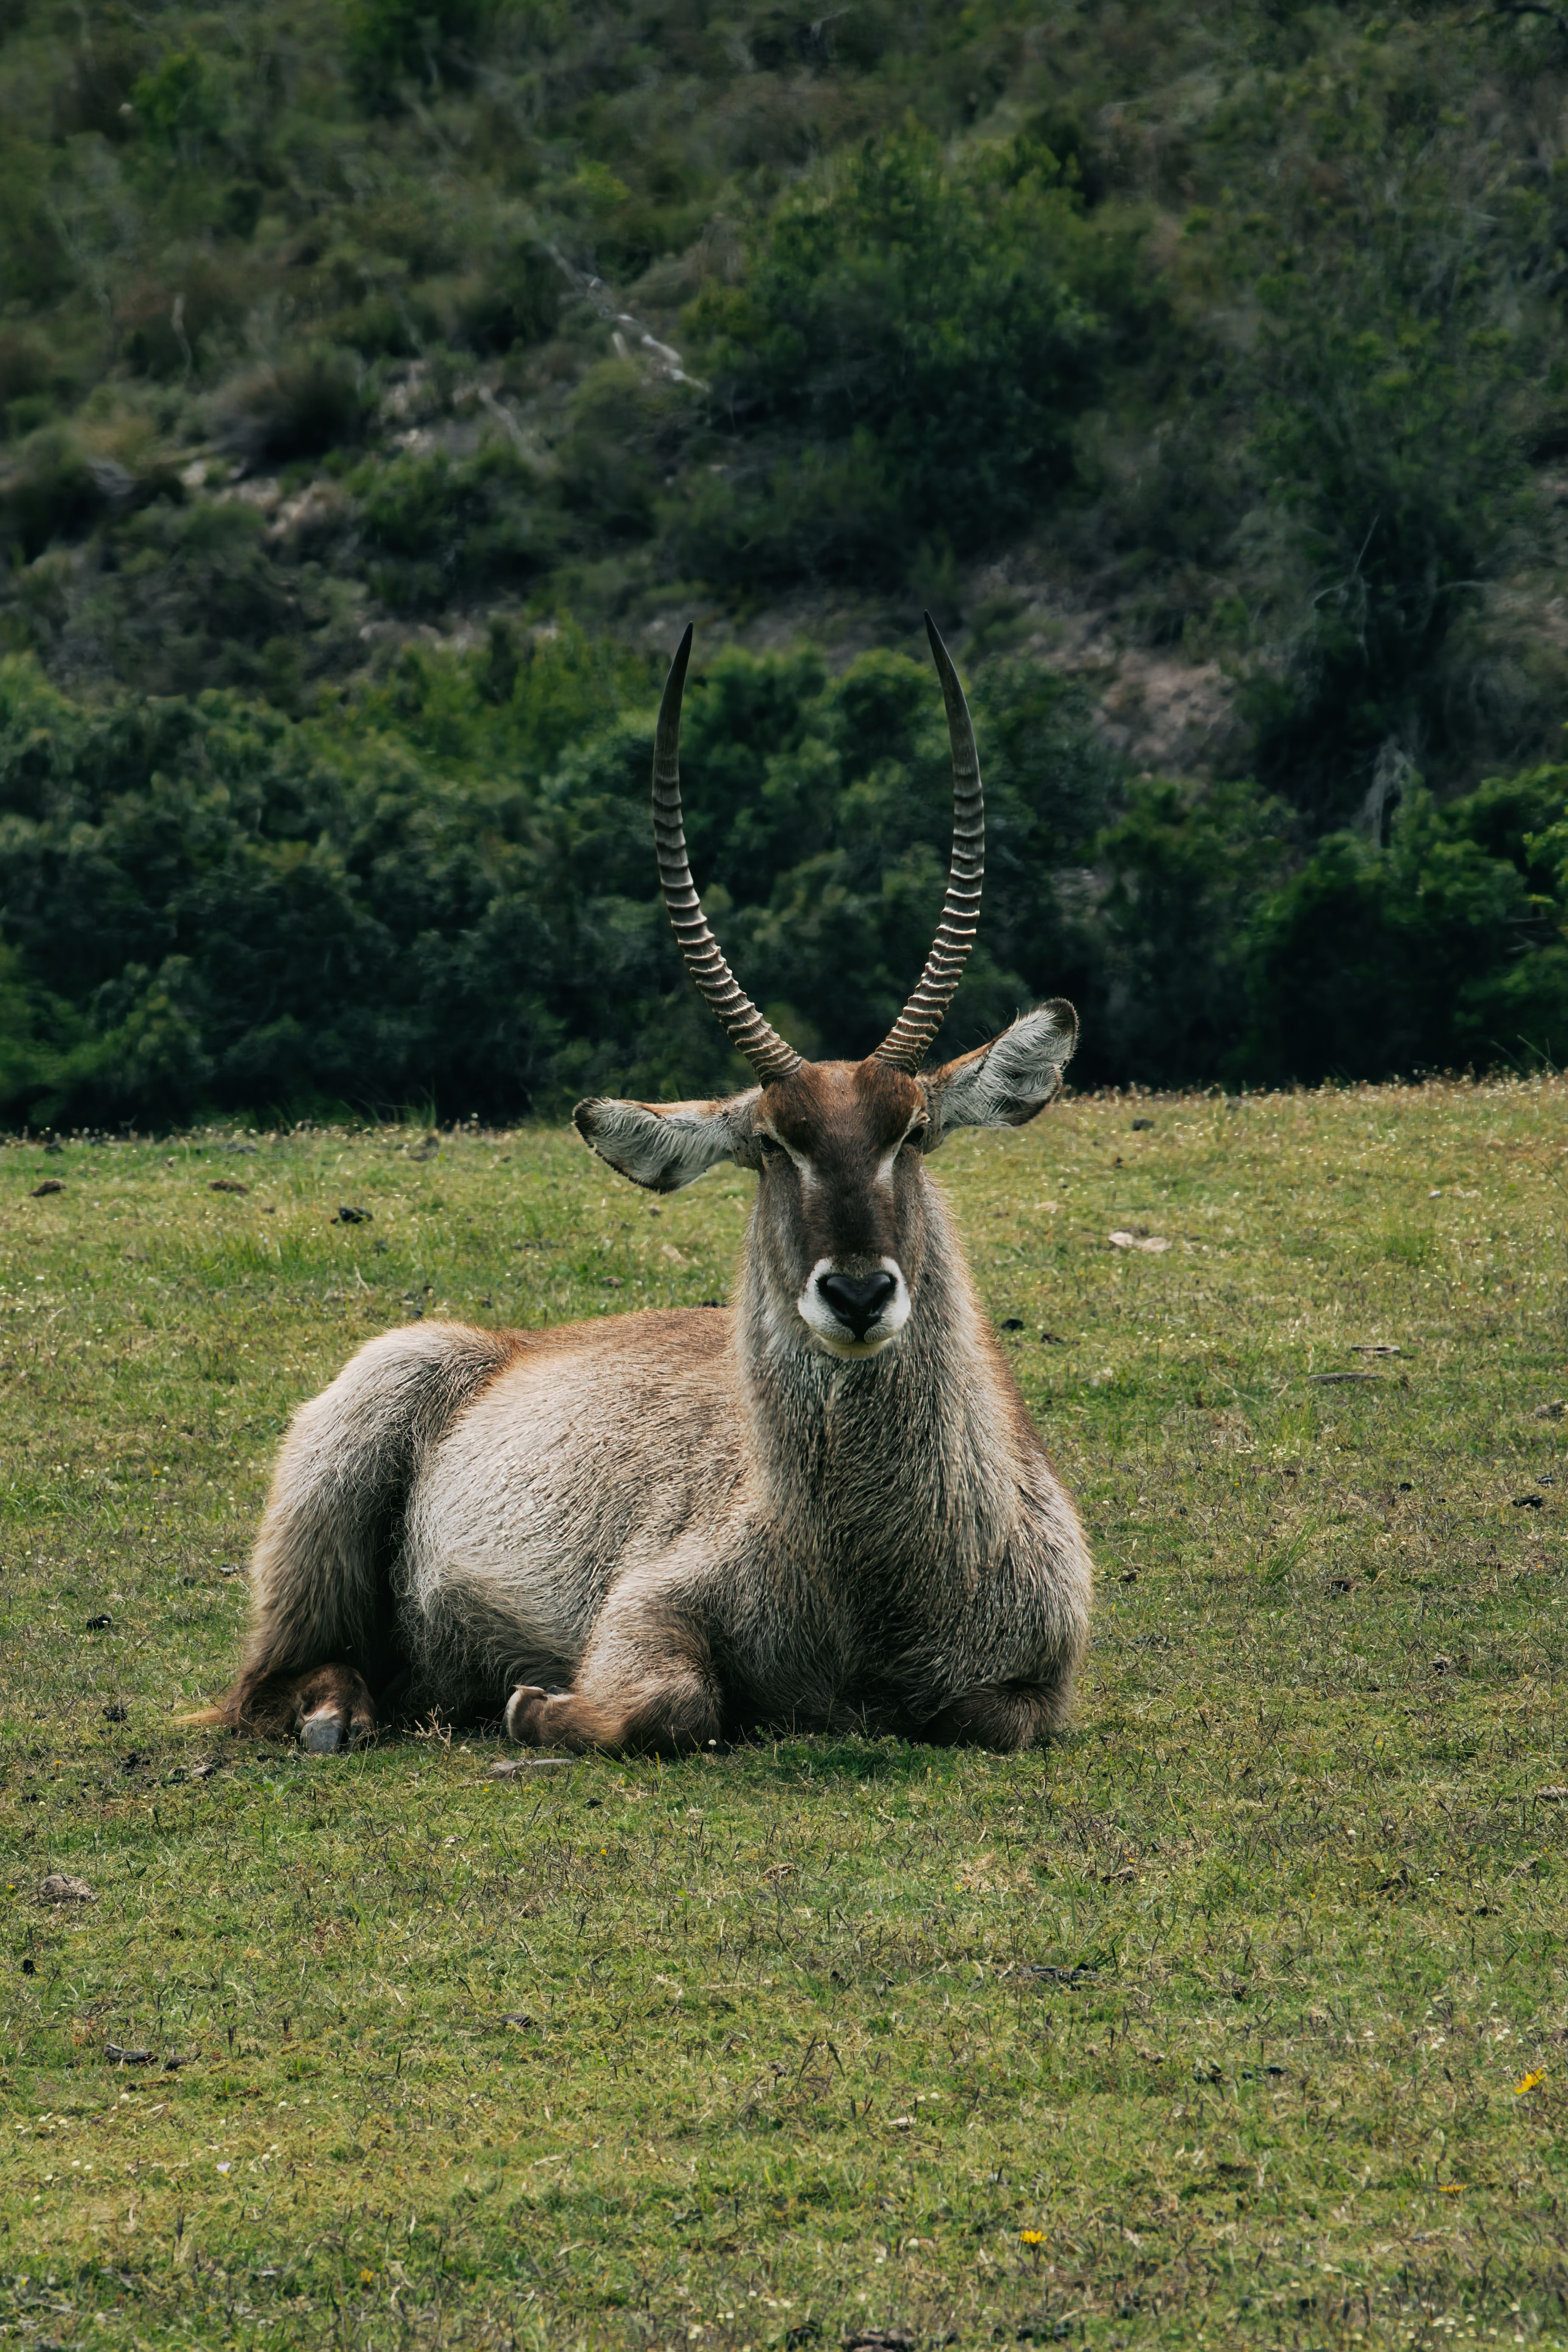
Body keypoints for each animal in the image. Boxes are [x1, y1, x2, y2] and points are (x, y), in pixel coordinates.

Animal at [207, 620, 1094, 1756]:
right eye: (770, 1142)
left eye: (915, 1129)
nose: (855, 1294)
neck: (869, 1583)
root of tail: (501, 1344)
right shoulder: (644, 1606)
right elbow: (675, 1701)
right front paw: (533, 1703)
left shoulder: (1037, 1683)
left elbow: (985, 1717)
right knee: (271, 1682)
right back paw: (340, 1710)